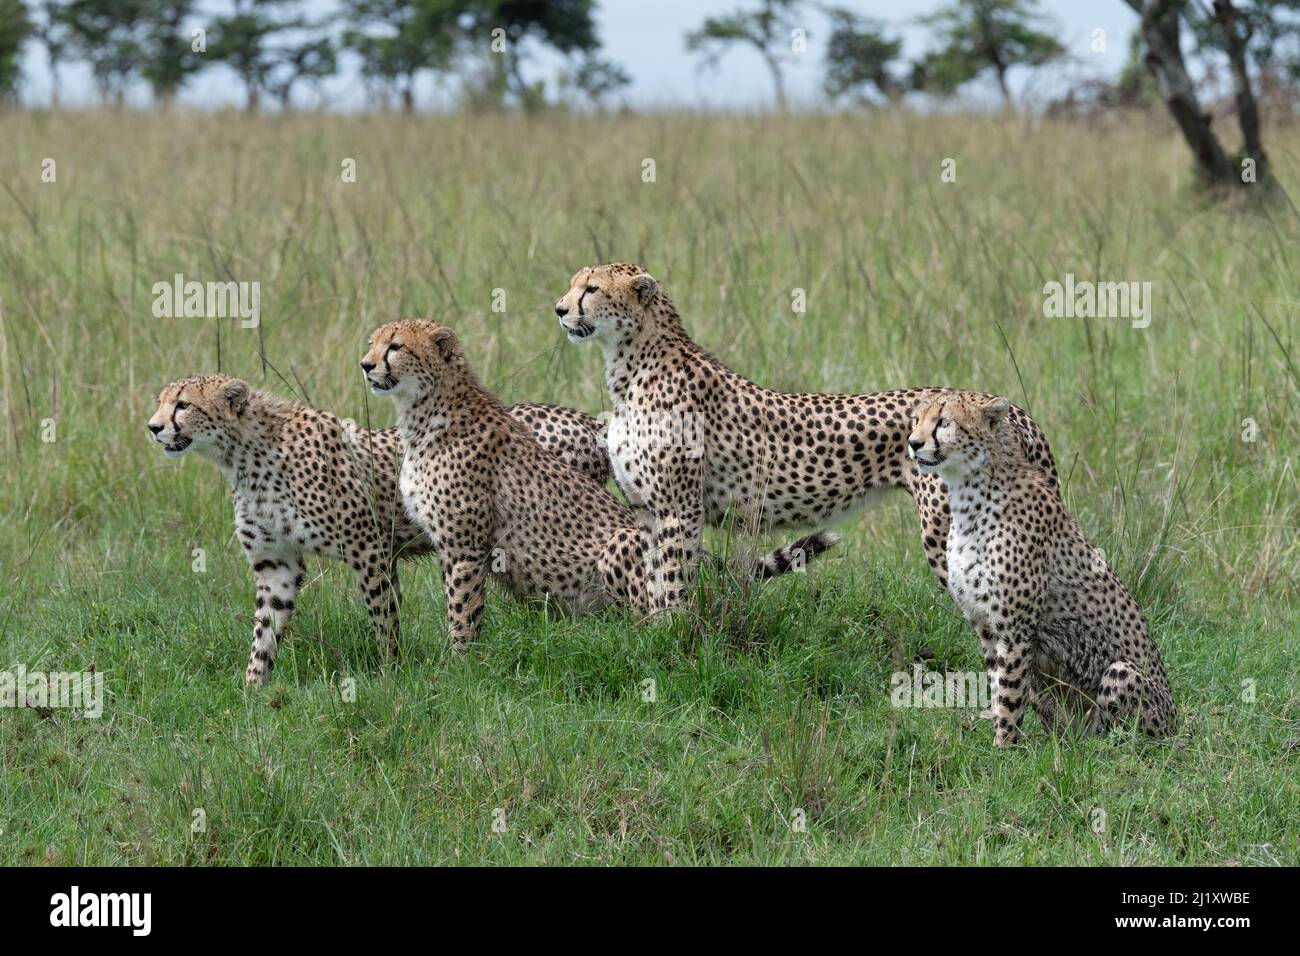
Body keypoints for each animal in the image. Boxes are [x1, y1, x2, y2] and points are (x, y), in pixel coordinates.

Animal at [147, 374, 609, 685]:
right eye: (161, 401)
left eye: (183, 405)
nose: (153, 427)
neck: (243, 455)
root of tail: (590, 421)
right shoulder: (276, 566)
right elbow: (265, 630)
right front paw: (253, 690)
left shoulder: (369, 550)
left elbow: (383, 618)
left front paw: (391, 674)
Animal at [359, 320, 837, 647]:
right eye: (372, 343)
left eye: (395, 346)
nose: (364, 365)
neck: (423, 410)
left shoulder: (464, 545)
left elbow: (462, 610)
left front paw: (461, 664)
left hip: (623, 543)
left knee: (651, 611)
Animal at [553, 262, 1059, 610]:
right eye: (574, 283)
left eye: (591, 289)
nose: (559, 309)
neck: (628, 363)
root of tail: (1011, 407)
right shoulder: (646, 509)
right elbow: (654, 580)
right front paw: (653, 637)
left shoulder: (678, 506)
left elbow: (674, 582)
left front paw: (674, 642)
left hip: (951, 530)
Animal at [908, 393, 1177, 745]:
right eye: (916, 419)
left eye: (943, 422)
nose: (913, 443)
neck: (970, 491)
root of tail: (1181, 723)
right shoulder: (986, 625)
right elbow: (998, 683)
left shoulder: (1016, 628)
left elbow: (1010, 691)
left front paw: (1003, 747)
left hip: (1122, 674)